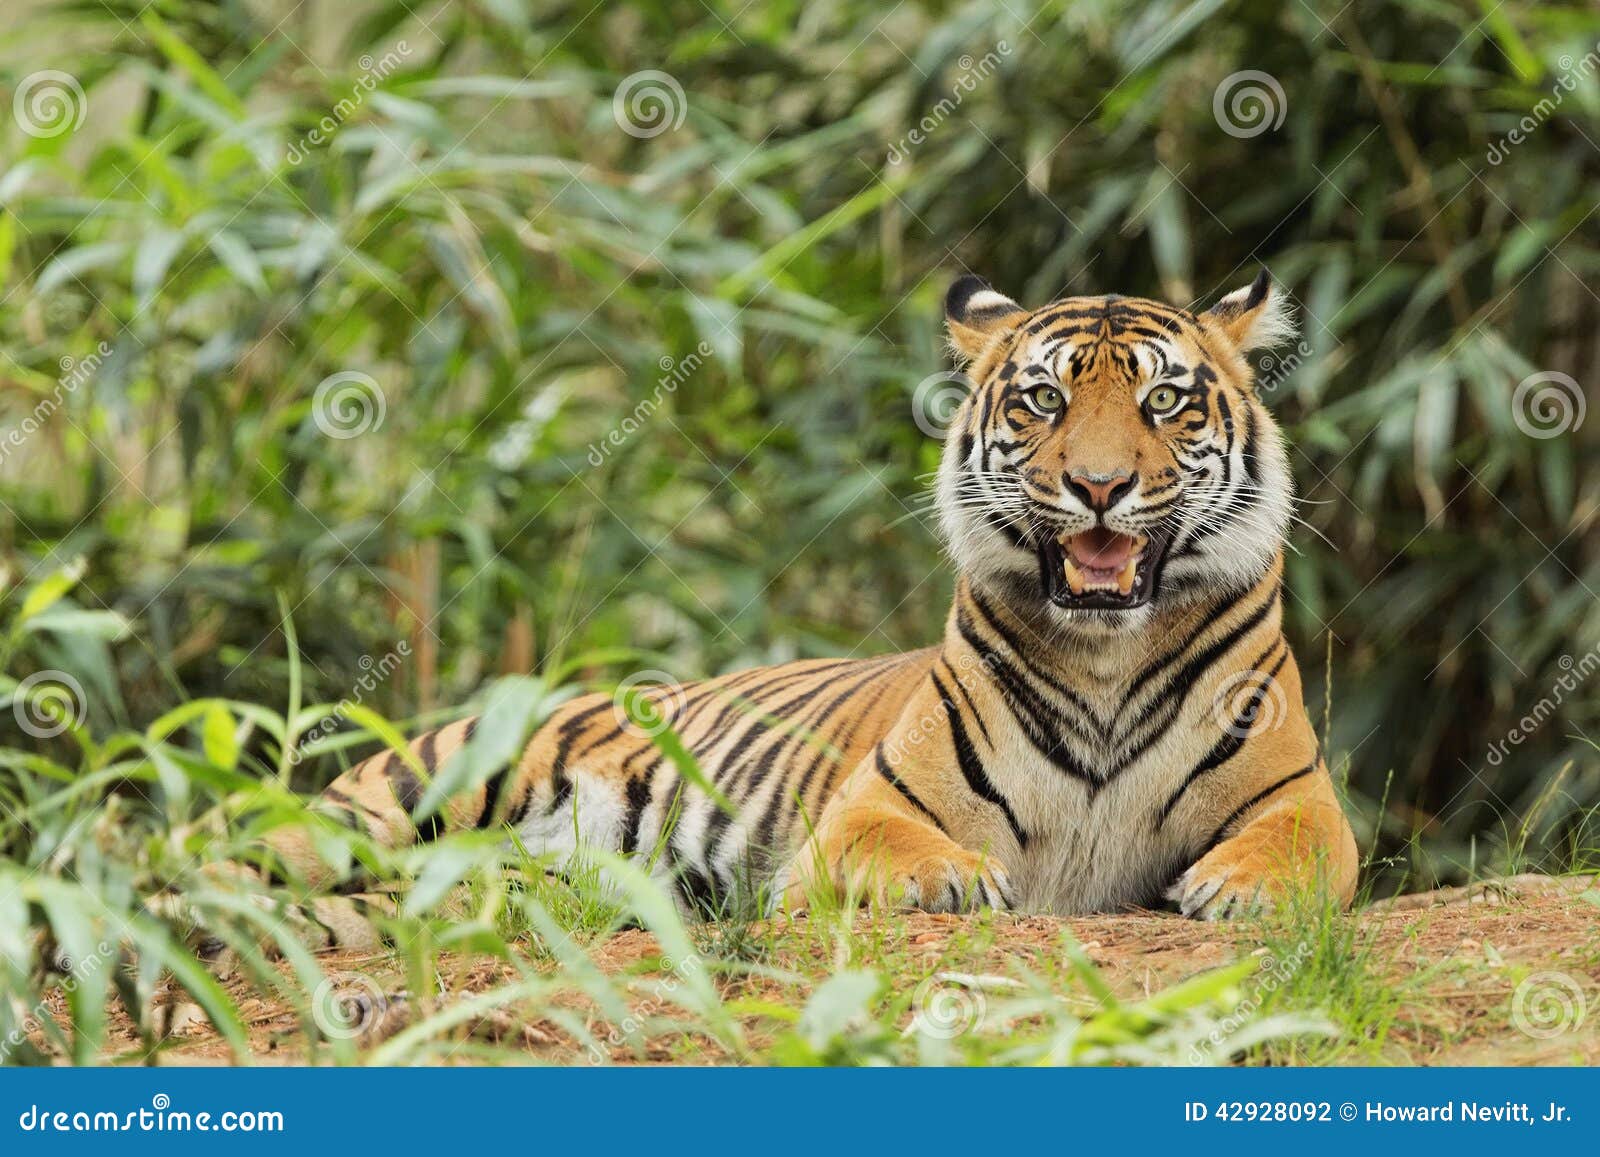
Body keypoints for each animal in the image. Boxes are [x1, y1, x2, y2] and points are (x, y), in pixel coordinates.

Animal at [245, 269, 1358, 936]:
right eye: (1043, 399)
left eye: (1163, 401)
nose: (1097, 485)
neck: (1105, 658)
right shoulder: (869, 805)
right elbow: (894, 845)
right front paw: (950, 879)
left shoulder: (1297, 788)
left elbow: (1305, 845)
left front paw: (1238, 886)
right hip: (401, 791)